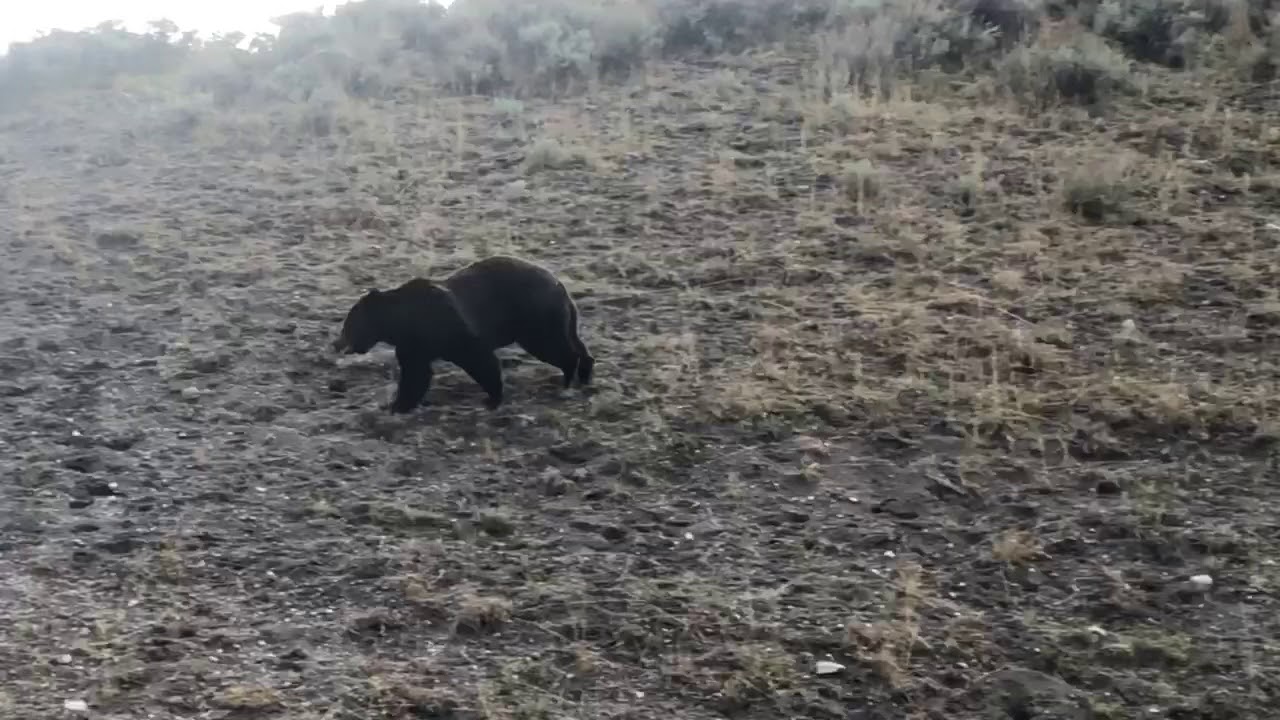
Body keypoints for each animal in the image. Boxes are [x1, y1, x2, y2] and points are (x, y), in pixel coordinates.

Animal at [331, 254, 595, 414]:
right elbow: (416, 375)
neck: (401, 322)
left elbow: (480, 361)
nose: (336, 343)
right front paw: (398, 405)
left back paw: (567, 381)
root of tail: (560, 285)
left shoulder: (451, 330)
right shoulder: (414, 345)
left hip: (535, 318)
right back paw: (585, 374)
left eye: (348, 324)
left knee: (554, 347)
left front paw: (492, 399)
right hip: (562, 318)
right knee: (576, 344)